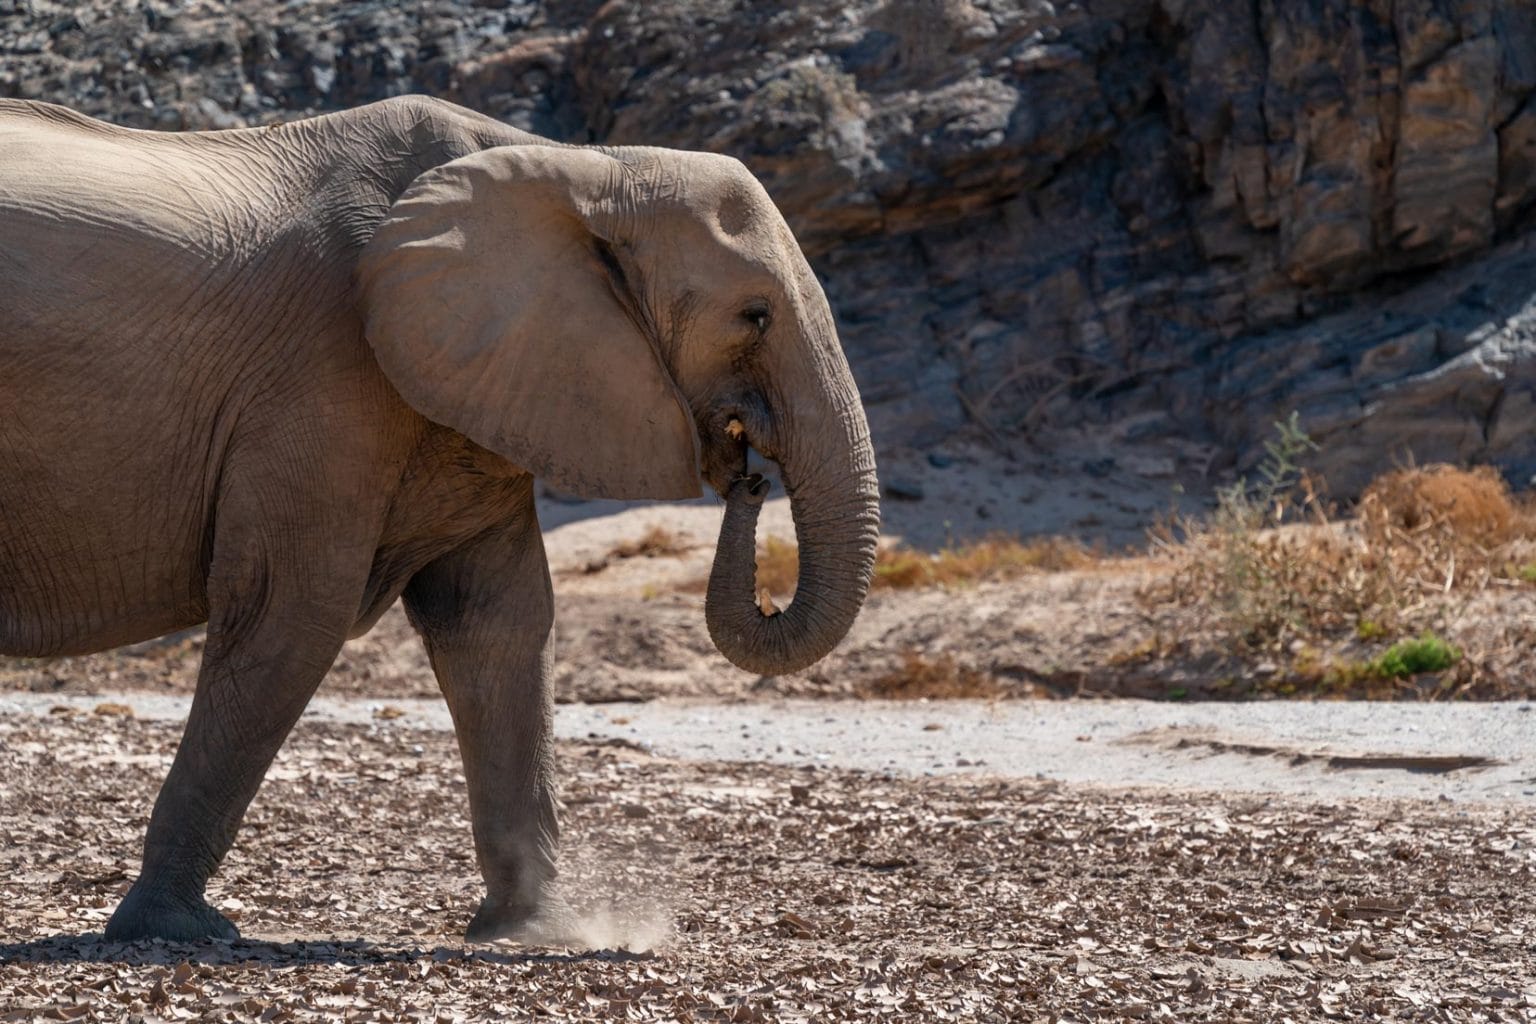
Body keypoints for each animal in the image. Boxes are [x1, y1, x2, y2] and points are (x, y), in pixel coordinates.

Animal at [0, 96, 879, 943]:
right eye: (756, 315)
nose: (747, 473)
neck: (582, 168)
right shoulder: (323, 378)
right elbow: (292, 610)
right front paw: (181, 930)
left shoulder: (482, 379)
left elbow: (500, 624)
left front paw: (538, 933)